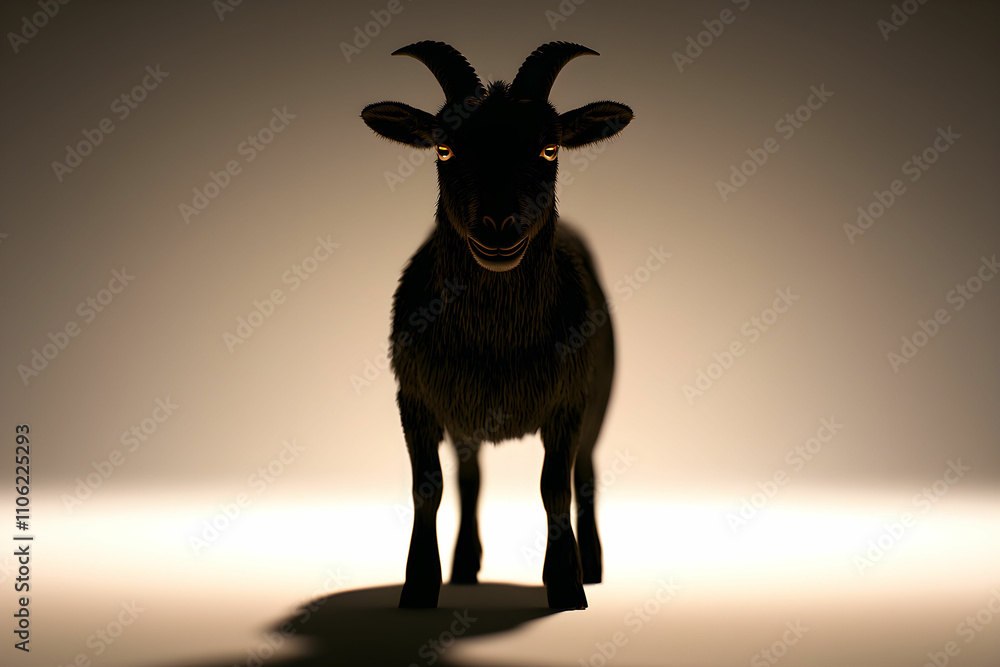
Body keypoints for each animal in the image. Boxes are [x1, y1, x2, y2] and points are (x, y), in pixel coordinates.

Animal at [361, 41, 632, 610]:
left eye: (550, 150)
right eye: (443, 150)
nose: (499, 228)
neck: (496, 338)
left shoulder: (569, 402)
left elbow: (555, 487)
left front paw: (567, 587)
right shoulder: (415, 398)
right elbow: (429, 487)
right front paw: (419, 586)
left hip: (599, 397)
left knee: (585, 471)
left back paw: (594, 565)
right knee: (469, 476)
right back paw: (465, 567)